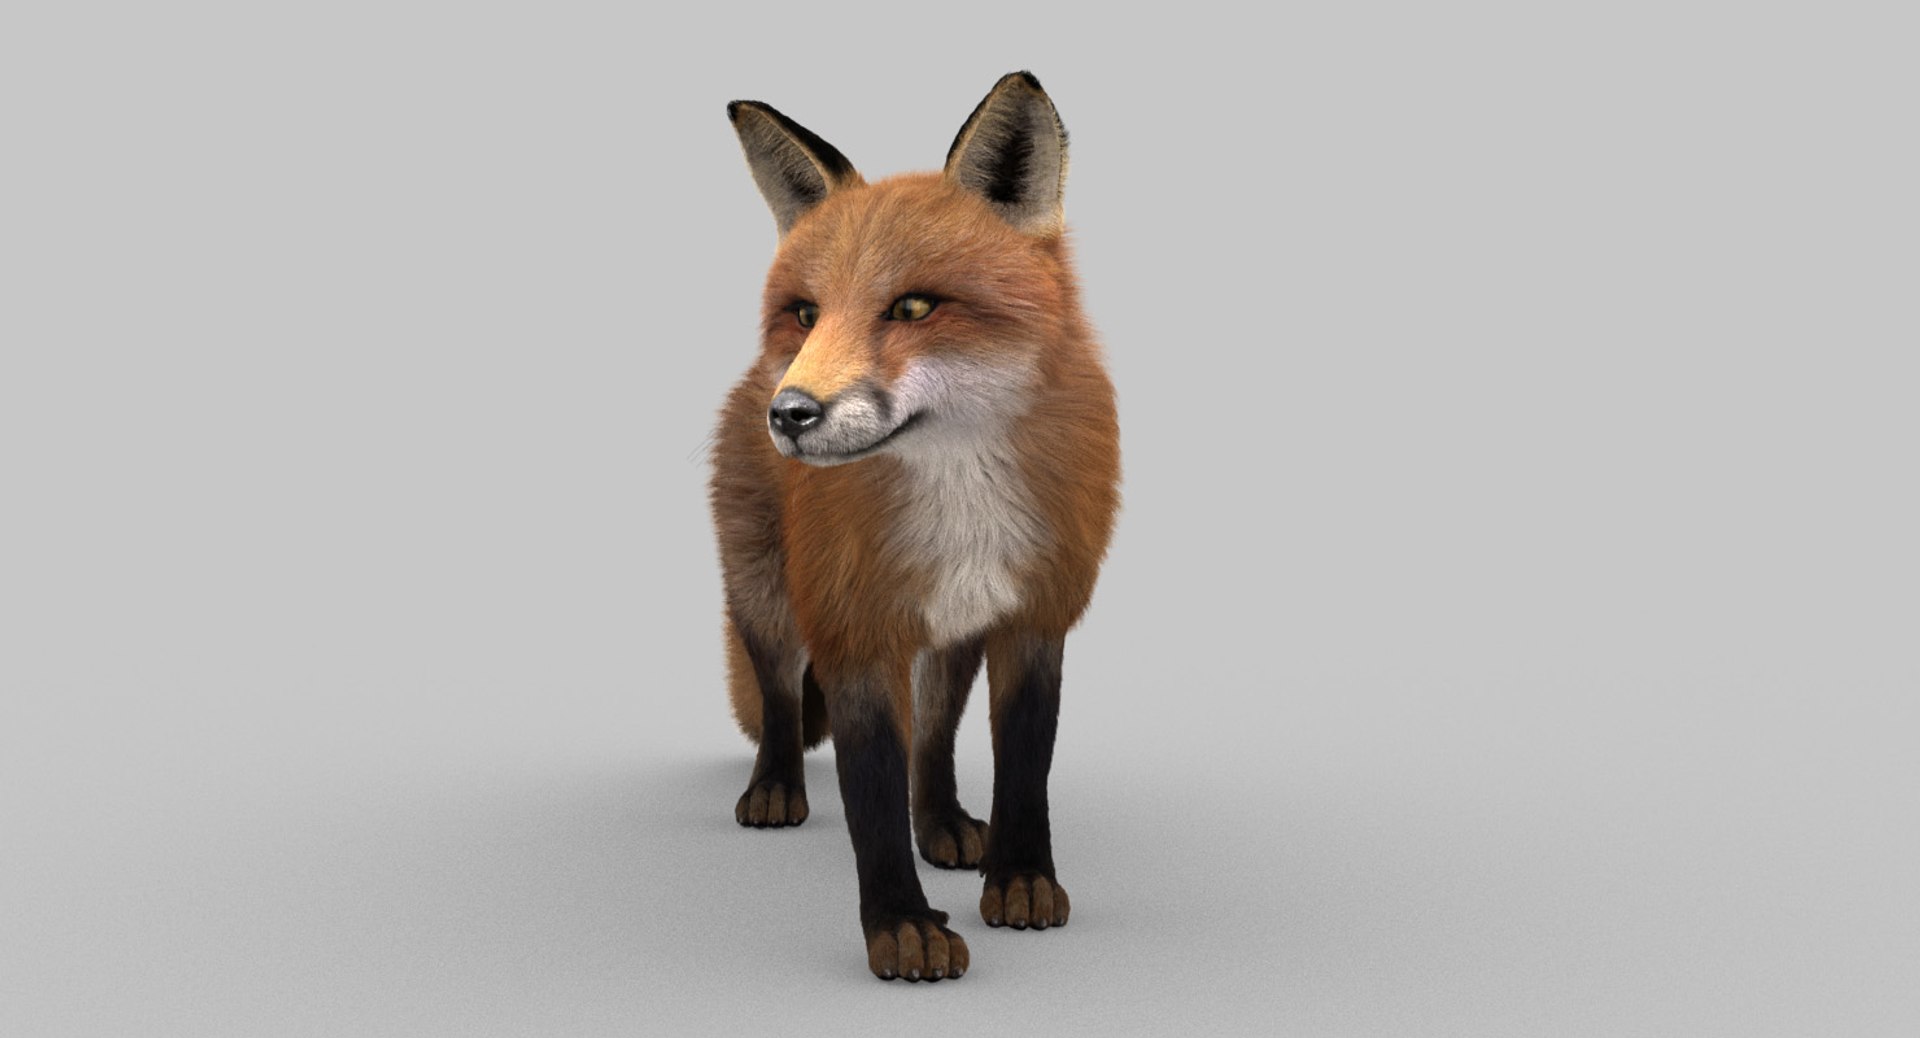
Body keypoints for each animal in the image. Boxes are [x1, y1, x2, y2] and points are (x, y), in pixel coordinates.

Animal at [708, 71, 1120, 982]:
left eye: (915, 306)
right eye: (806, 314)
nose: (789, 415)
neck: (962, 505)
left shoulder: (1033, 617)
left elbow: (1023, 766)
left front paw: (1022, 877)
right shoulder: (853, 630)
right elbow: (869, 798)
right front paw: (899, 926)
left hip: (950, 637)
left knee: (932, 738)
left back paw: (942, 822)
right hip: (767, 596)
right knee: (781, 697)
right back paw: (777, 788)